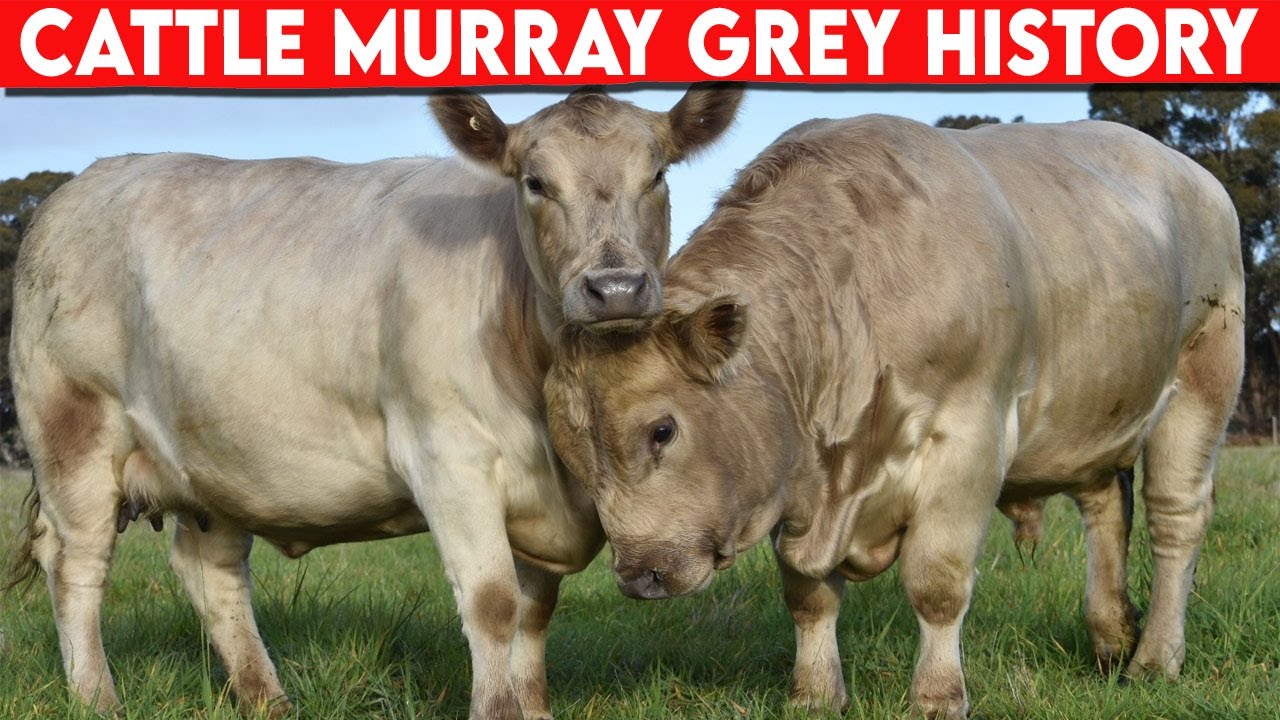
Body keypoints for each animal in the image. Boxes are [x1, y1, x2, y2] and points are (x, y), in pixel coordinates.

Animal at [2, 85, 744, 719]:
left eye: (657, 175)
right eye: (535, 183)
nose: (615, 287)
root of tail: (82, 185)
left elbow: (533, 614)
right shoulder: (448, 458)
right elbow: (493, 604)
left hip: (213, 460)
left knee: (210, 571)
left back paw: (268, 700)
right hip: (74, 433)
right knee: (76, 565)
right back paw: (99, 699)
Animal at [545, 115, 1244, 719]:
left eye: (662, 430)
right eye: (572, 458)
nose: (641, 576)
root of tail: (1188, 171)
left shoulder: (968, 439)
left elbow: (936, 583)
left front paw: (937, 696)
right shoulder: (796, 482)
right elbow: (808, 595)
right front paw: (814, 694)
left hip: (1203, 381)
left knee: (1175, 521)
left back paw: (1154, 660)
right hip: (1095, 413)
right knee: (1106, 508)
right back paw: (1110, 639)